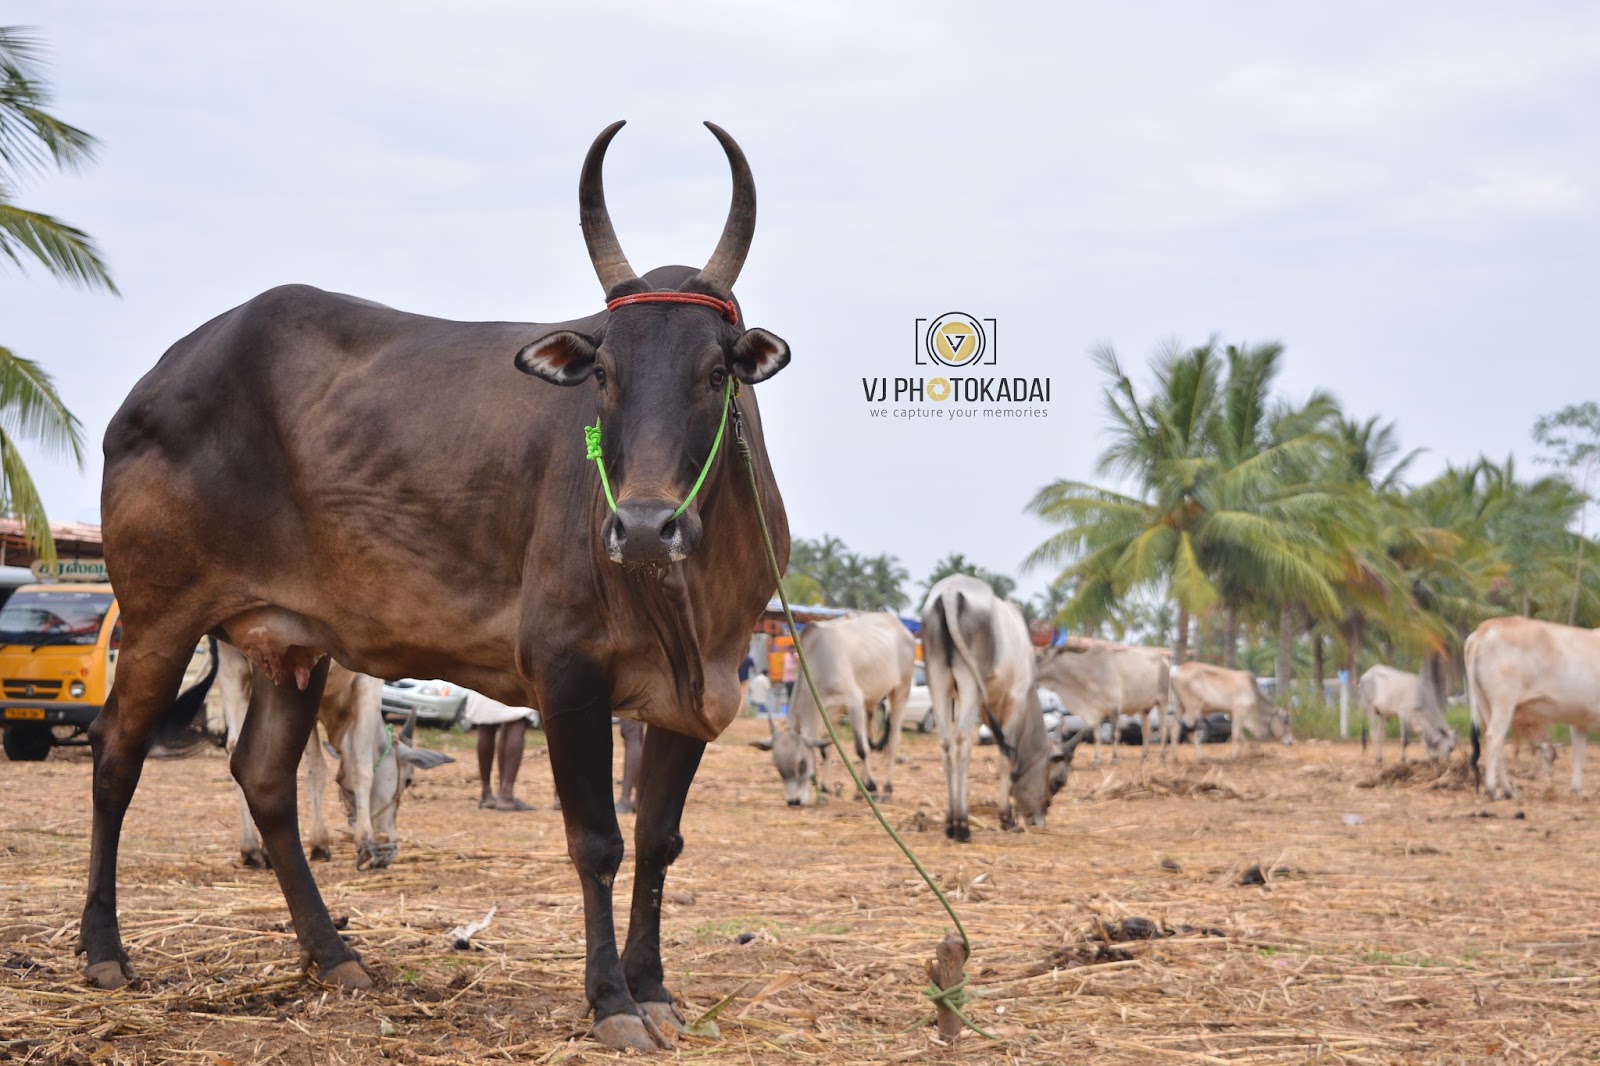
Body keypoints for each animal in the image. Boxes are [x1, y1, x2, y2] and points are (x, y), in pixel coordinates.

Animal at [217, 643, 452, 870]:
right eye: (408, 780)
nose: (389, 849)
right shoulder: (367, 684)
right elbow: (361, 767)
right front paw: (363, 841)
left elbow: (316, 770)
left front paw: (317, 844)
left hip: (232, 667)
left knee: (237, 748)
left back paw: (252, 849)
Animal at [750, 612, 914, 806]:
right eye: (776, 765)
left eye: (802, 763)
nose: (794, 801)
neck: (819, 662)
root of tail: (899, 626)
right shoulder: (829, 712)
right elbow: (826, 750)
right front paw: (825, 792)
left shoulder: (854, 702)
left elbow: (861, 749)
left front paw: (873, 789)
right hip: (871, 704)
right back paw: (859, 792)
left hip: (901, 691)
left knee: (892, 742)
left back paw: (887, 790)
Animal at [920, 575, 1068, 842]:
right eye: (1059, 781)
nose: (1038, 820)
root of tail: (950, 592)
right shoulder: (1015, 697)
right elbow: (1007, 755)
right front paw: (1006, 818)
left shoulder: (985, 705)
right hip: (969, 682)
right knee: (961, 744)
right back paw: (962, 826)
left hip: (937, 680)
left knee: (947, 743)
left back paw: (949, 824)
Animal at [1033, 642, 1169, 764]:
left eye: (1039, 657)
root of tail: (1164, 660)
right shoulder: (1096, 711)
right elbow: (1096, 736)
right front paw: (1097, 759)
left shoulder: (1114, 708)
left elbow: (1114, 734)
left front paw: (1115, 758)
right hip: (1145, 708)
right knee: (1146, 731)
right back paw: (1145, 757)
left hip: (1162, 701)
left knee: (1162, 729)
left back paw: (1162, 757)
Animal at [1467, 617, 1600, 800]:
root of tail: (1487, 626)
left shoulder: (1579, 719)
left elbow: (1579, 751)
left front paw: (1577, 789)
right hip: (1504, 702)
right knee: (1494, 738)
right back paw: (1492, 789)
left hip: (1485, 704)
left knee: (1496, 742)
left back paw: (1508, 790)